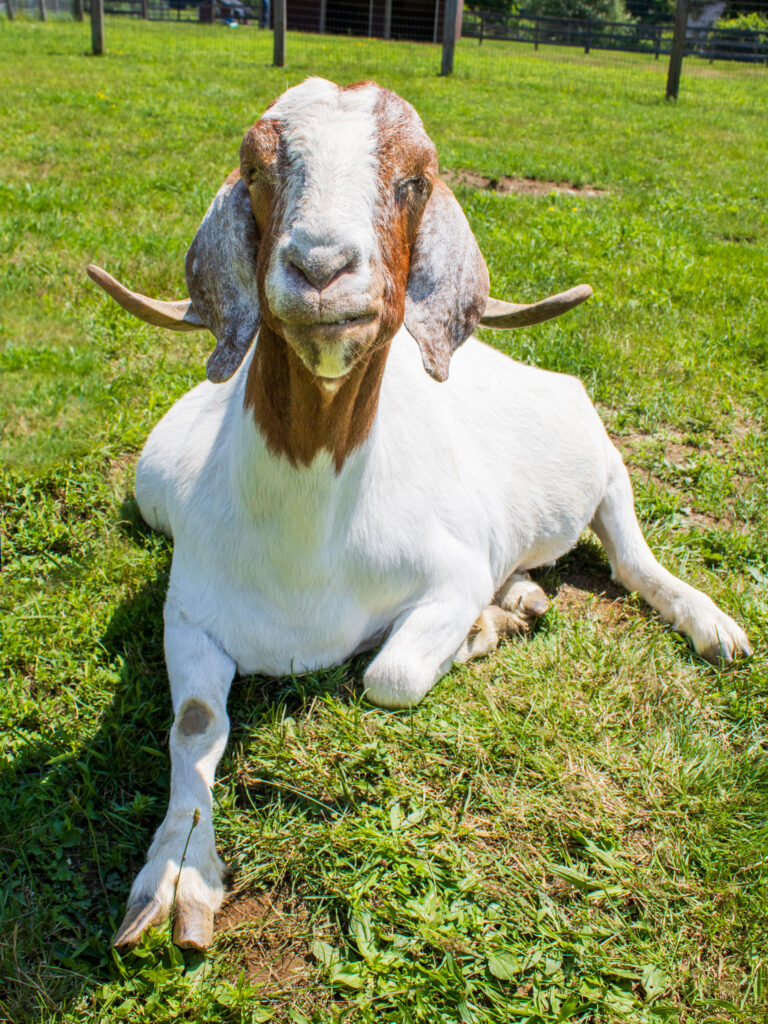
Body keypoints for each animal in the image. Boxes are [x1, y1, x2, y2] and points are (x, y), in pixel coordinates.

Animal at [88, 78, 751, 952]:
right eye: (257, 169)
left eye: (414, 180)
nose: (322, 266)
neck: (307, 548)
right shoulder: (190, 611)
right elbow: (196, 724)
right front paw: (177, 873)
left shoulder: (451, 574)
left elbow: (390, 676)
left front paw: (479, 631)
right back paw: (527, 595)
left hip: (600, 464)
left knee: (633, 558)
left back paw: (710, 626)